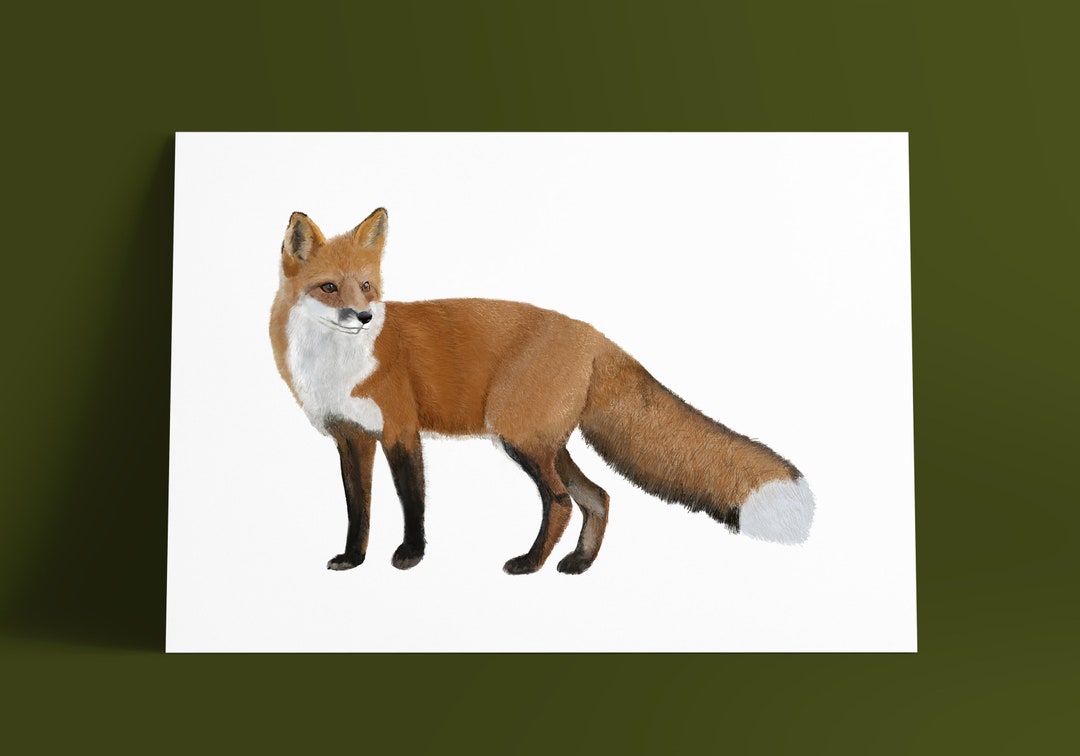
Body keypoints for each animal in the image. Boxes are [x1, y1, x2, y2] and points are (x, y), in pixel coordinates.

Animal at [270, 208, 814, 575]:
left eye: (366, 286)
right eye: (329, 288)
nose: (364, 317)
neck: (337, 364)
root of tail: (595, 335)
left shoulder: (401, 429)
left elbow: (412, 501)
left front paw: (410, 556)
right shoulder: (351, 438)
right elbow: (357, 508)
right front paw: (352, 559)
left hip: (521, 440)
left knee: (563, 502)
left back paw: (530, 563)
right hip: (547, 444)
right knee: (599, 496)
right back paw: (579, 564)